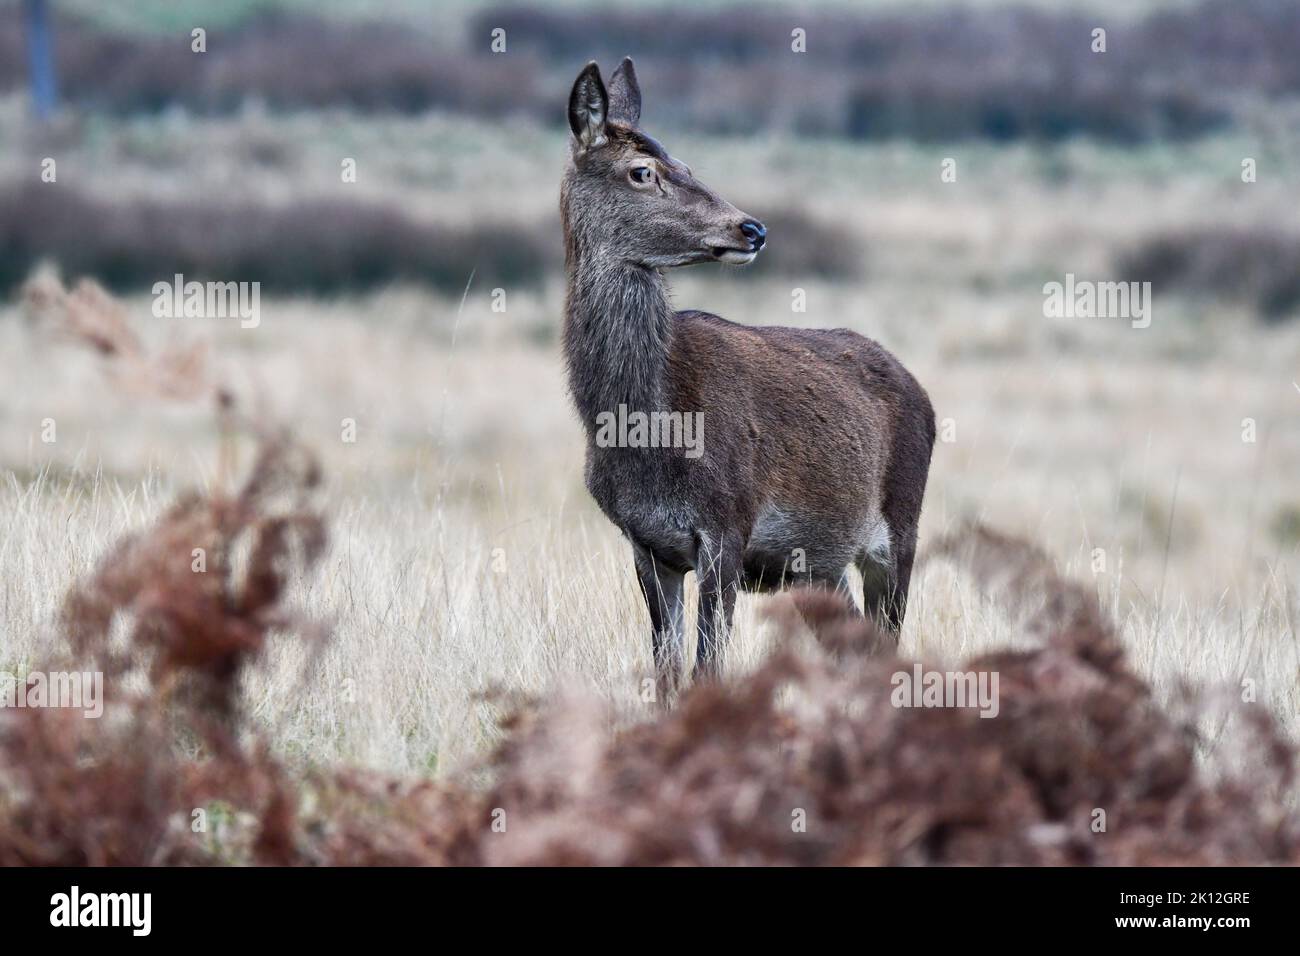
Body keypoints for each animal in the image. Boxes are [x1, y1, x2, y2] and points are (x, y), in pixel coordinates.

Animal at [561, 58, 936, 702]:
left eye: (687, 165)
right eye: (642, 171)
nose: (751, 228)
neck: (649, 427)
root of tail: (923, 393)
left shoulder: (728, 525)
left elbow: (706, 670)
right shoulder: (645, 544)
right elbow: (667, 675)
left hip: (899, 525)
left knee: (889, 647)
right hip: (818, 565)